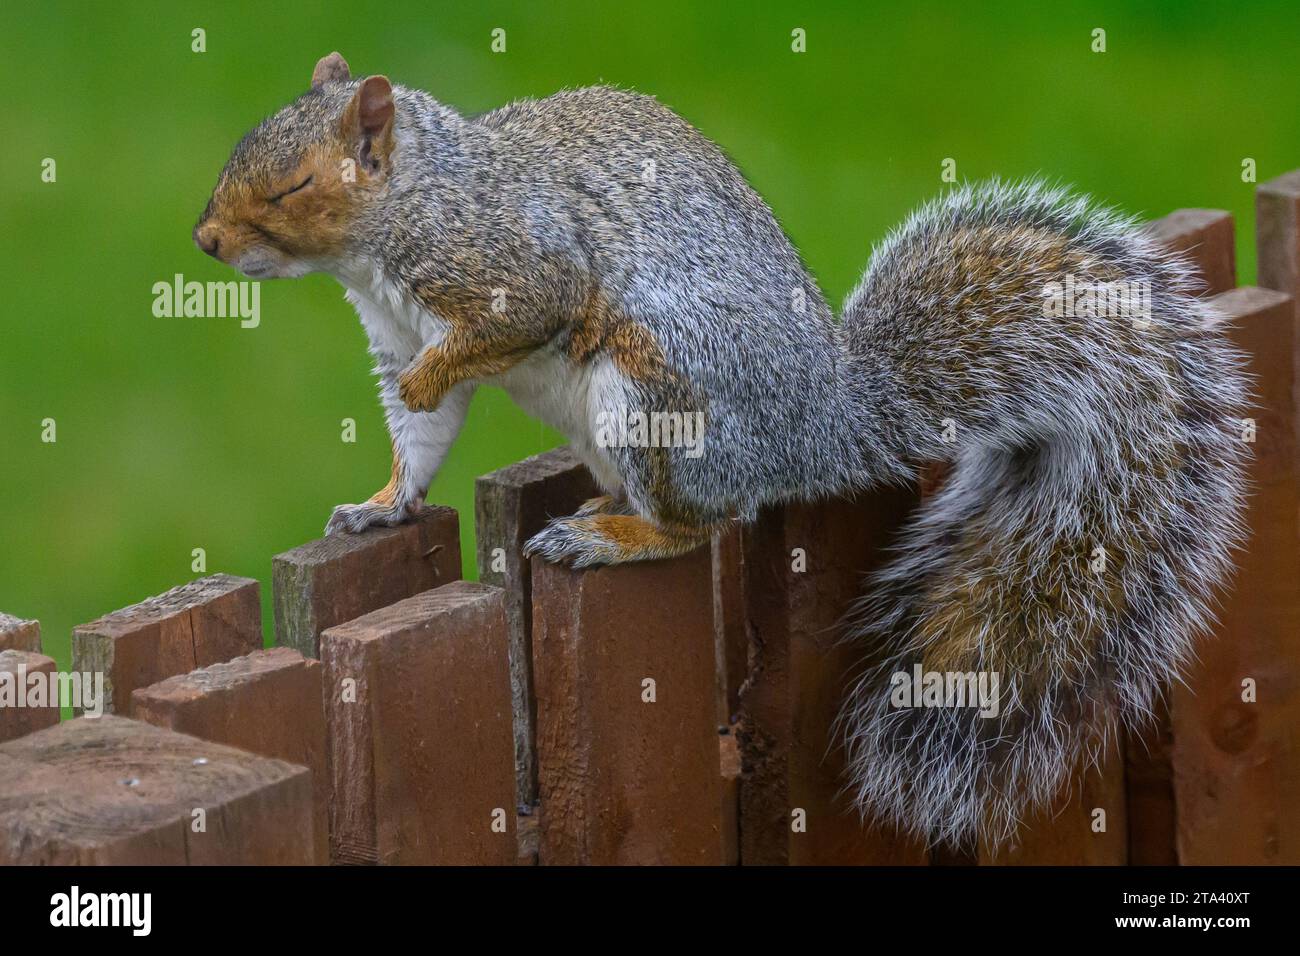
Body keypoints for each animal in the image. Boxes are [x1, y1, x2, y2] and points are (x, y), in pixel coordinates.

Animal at [195, 52, 1250, 848]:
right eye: (241, 151)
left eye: (292, 184)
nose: (206, 240)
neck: (407, 210)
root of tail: (826, 425)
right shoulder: (394, 329)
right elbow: (420, 440)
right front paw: (382, 503)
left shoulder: (507, 267)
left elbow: (508, 325)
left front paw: (426, 388)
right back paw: (601, 508)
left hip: (655, 392)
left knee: (708, 525)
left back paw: (617, 536)